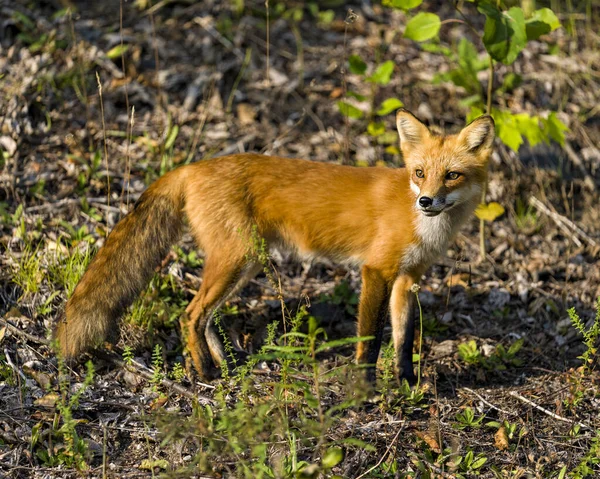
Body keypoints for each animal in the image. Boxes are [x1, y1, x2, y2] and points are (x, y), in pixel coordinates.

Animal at [56, 110, 494, 384]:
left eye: (452, 176)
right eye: (419, 173)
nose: (427, 201)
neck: (421, 223)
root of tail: (192, 167)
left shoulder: (407, 279)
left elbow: (403, 341)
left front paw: (406, 385)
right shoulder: (376, 271)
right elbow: (370, 342)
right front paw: (365, 390)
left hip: (246, 262)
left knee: (205, 318)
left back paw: (222, 365)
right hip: (237, 259)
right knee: (189, 315)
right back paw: (205, 373)